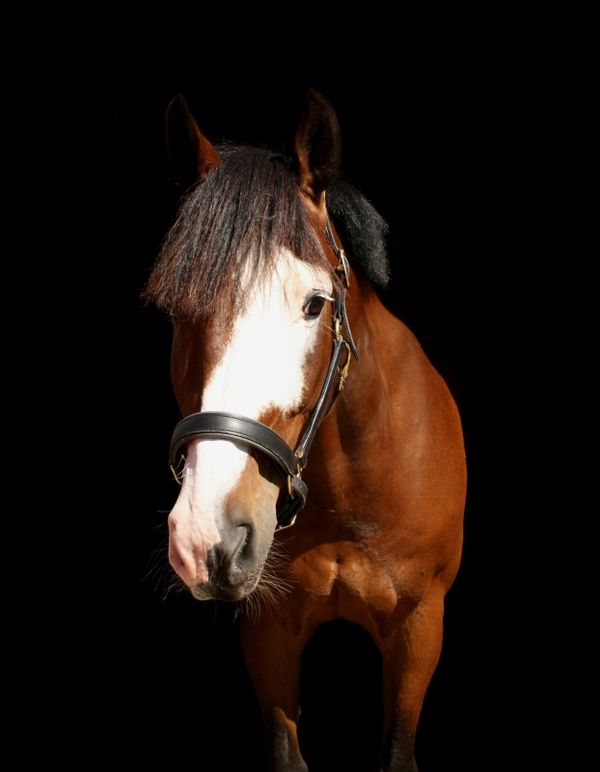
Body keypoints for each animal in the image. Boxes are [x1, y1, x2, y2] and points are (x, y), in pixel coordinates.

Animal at [144, 90, 466, 772]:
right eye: (179, 309)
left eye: (314, 304)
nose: (206, 535)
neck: (351, 498)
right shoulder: (268, 635)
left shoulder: (420, 629)